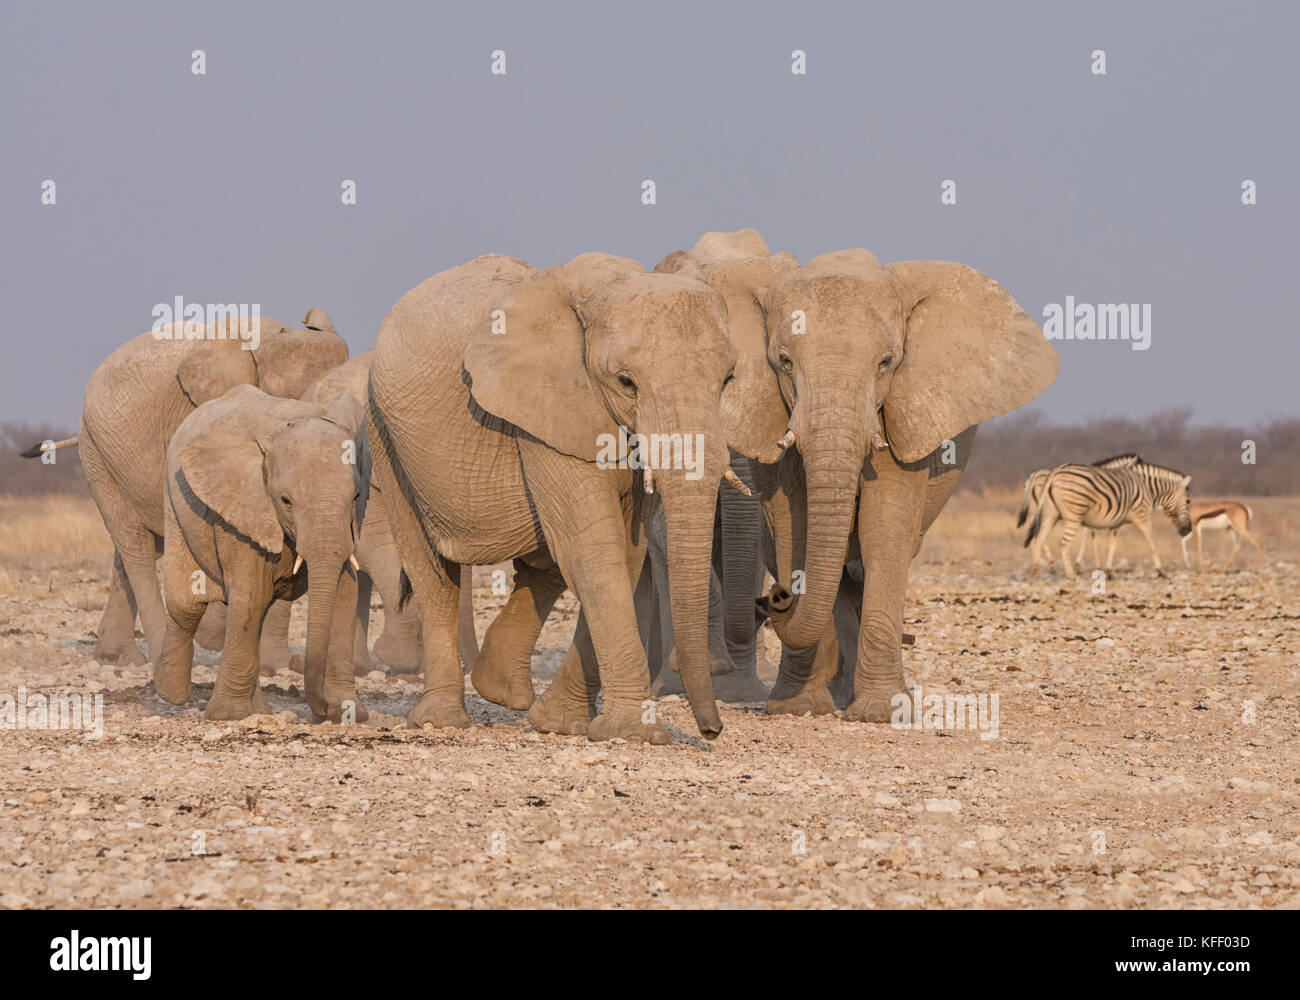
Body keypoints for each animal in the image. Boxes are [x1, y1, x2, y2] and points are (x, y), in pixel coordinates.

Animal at [62, 308, 348, 666]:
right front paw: (217, 635)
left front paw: (276, 665)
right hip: (96, 452)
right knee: (136, 545)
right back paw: (157, 652)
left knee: (135, 546)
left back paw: (117, 657)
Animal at [156, 384, 368, 721]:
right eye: (285, 500)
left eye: (356, 496)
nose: (322, 710)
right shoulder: (242, 505)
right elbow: (251, 595)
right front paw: (230, 715)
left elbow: (344, 594)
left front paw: (348, 712)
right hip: (174, 501)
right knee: (187, 603)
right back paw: (171, 693)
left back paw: (259, 710)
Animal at [366, 252, 741, 743]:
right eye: (626, 382)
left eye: (728, 379)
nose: (712, 731)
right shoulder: (547, 416)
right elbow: (594, 551)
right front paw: (634, 734)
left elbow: (623, 554)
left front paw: (561, 724)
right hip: (385, 435)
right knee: (433, 573)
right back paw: (442, 720)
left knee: (544, 564)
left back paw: (501, 690)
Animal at [655, 230, 1059, 722]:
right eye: (784, 362)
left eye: (886, 363)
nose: (776, 598)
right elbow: (794, 525)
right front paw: (797, 707)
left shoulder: (900, 414)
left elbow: (883, 528)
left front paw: (880, 713)